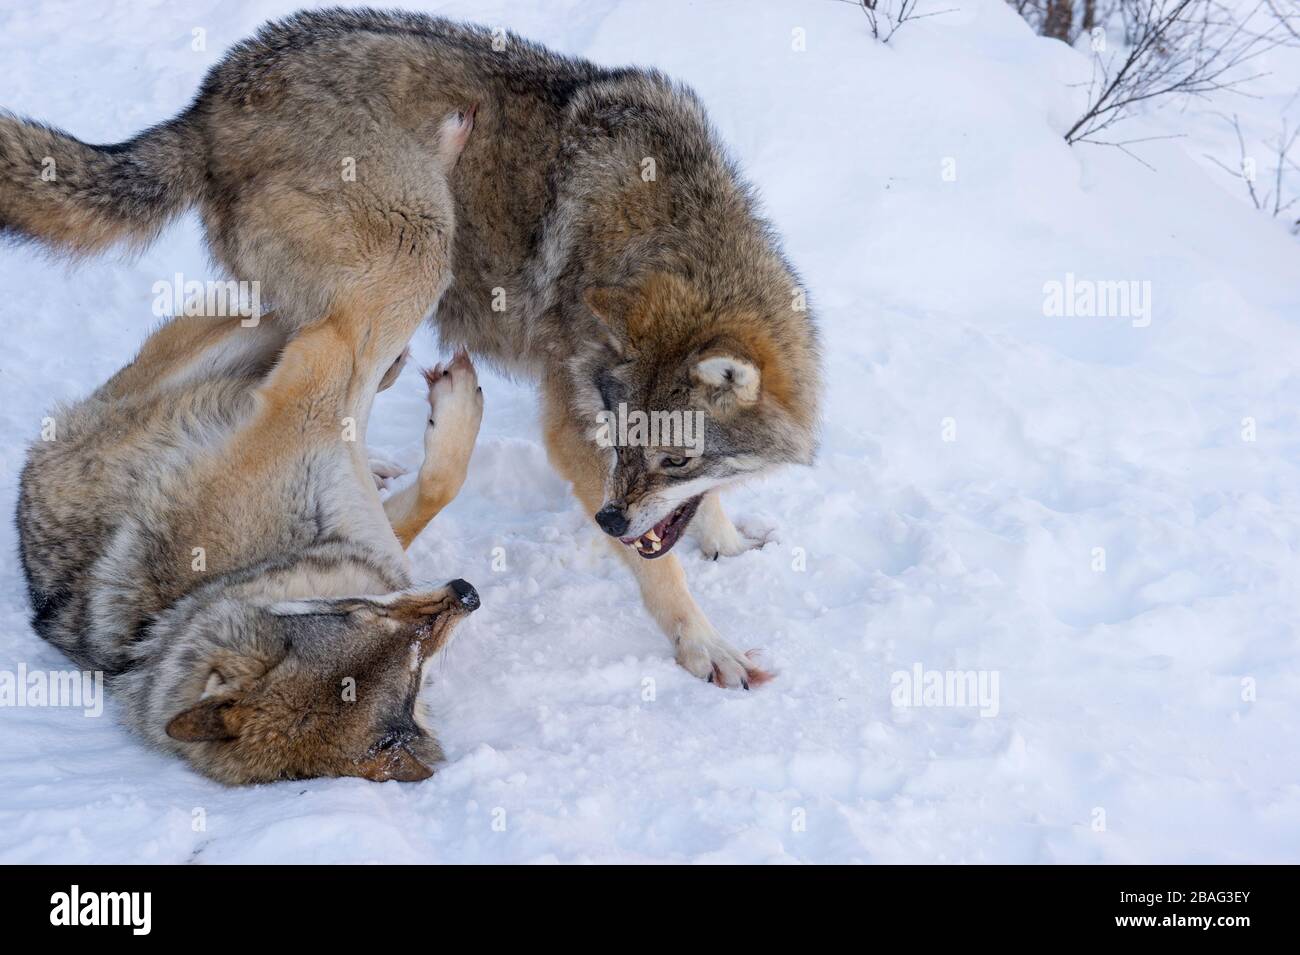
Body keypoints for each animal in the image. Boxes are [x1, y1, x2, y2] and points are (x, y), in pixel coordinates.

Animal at [0, 8, 821, 689]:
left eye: (675, 457)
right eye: (621, 443)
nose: (611, 523)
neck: (675, 232)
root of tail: (203, 106)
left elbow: (702, 507)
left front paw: (725, 541)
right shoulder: (570, 424)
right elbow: (661, 577)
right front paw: (705, 647)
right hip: (417, 251)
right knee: (334, 390)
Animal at [14, 107, 486, 784]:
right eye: (363, 620)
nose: (467, 592)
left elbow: (426, 485)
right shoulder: (314, 387)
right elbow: (369, 350)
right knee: (358, 300)